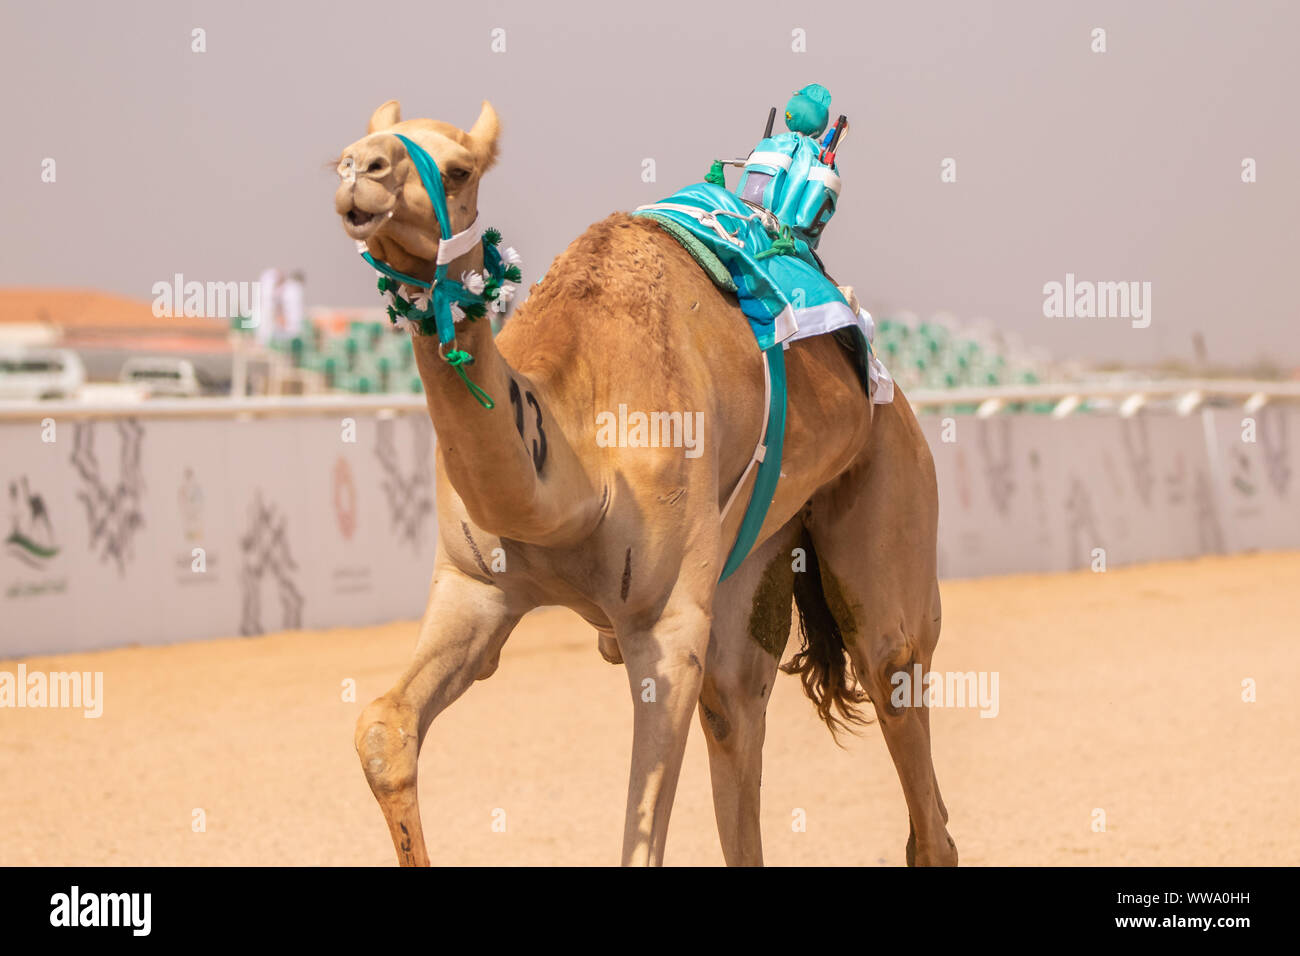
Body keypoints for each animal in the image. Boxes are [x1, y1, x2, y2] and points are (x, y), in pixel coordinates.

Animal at [336, 99, 957, 866]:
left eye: (459, 168)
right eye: (363, 144)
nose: (359, 170)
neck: (577, 473)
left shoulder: (664, 623)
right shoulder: (476, 587)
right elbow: (382, 730)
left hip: (891, 487)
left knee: (895, 683)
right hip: (756, 554)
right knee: (736, 707)